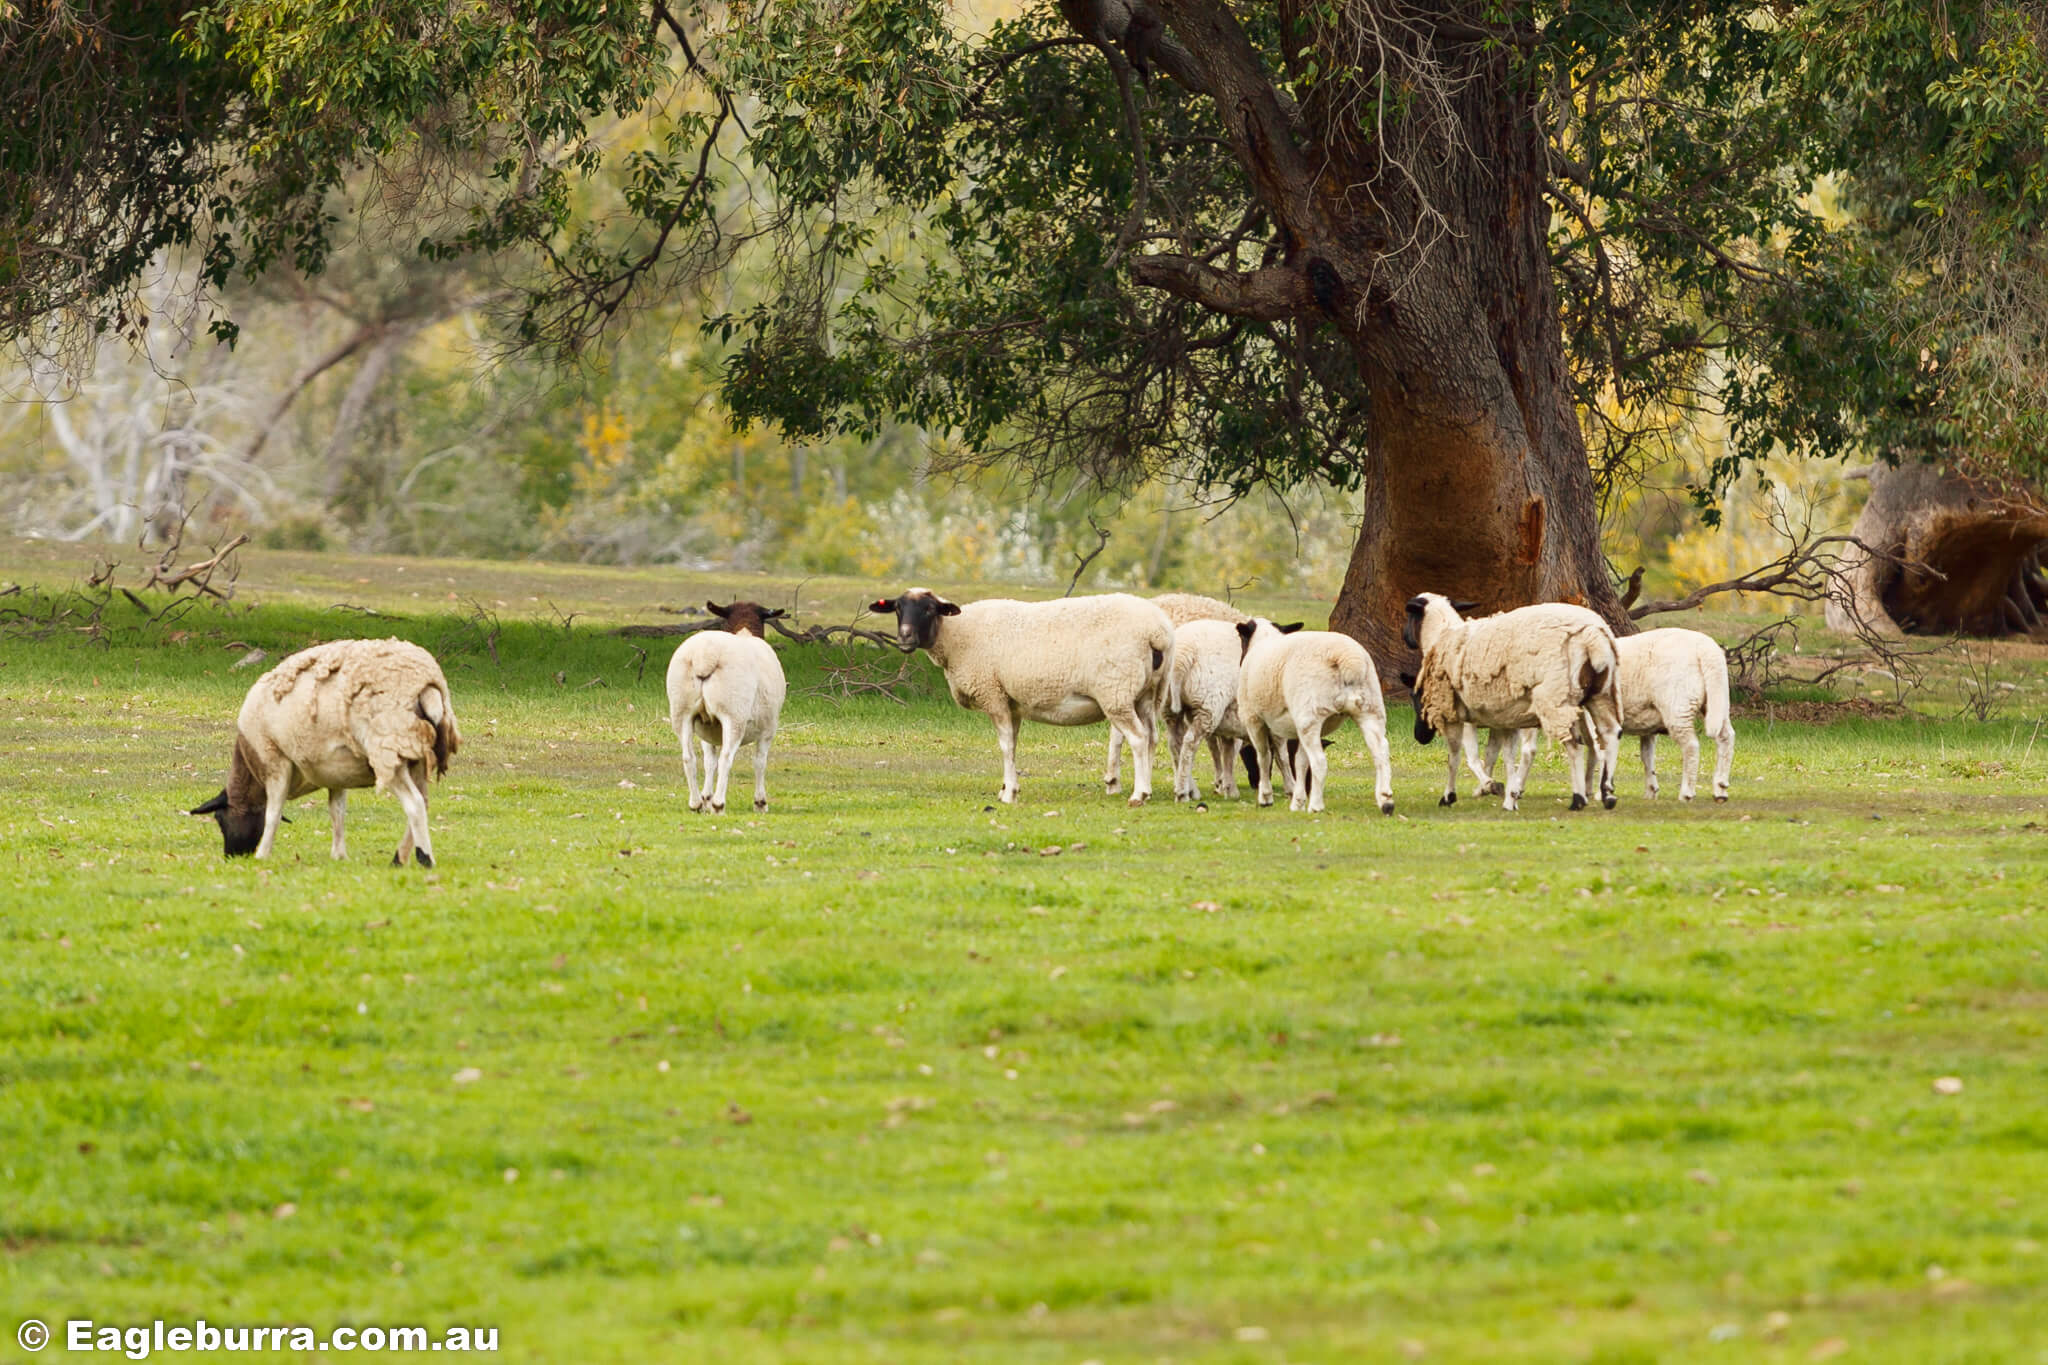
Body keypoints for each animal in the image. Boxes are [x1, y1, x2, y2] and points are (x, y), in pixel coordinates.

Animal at [188, 638, 460, 865]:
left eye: (219, 819)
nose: (231, 856)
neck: (250, 759)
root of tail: (428, 687)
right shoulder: (336, 772)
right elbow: (337, 812)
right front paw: (338, 855)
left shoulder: (275, 758)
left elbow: (273, 813)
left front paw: (262, 855)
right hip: (416, 753)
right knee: (424, 800)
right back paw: (399, 858)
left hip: (388, 749)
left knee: (415, 804)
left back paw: (425, 859)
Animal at [666, 600, 789, 814]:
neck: (745, 632)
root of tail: (704, 656)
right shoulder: (769, 727)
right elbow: (760, 762)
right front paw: (760, 803)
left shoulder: (706, 730)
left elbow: (709, 762)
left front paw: (706, 798)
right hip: (734, 713)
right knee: (726, 758)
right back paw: (719, 804)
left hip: (681, 710)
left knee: (689, 757)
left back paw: (696, 804)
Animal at [872, 587, 1173, 805]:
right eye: (897, 609)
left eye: (928, 609)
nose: (904, 639)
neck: (956, 635)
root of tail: (1158, 631)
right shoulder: (1010, 701)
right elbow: (1014, 745)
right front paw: (1006, 787)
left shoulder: (992, 694)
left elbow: (1005, 746)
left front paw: (1009, 794)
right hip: (1147, 694)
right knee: (1151, 738)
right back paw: (1147, 789)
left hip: (1116, 691)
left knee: (1138, 738)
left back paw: (1139, 794)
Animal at [1234, 617, 1395, 814]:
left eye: (1241, 638)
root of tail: (1349, 660)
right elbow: (1300, 762)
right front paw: (1297, 801)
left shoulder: (1254, 719)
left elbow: (1264, 757)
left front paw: (1266, 797)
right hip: (1369, 708)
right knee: (1381, 752)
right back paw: (1386, 800)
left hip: (1311, 713)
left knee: (1319, 761)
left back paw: (1316, 806)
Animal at [1404, 593, 1622, 812]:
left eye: (1417, 697)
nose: (1419, 737)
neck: (1442, 633)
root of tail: (1592, 637)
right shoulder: (1502, 717)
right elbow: (1499, 754)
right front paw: (1499, 791)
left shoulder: (1455, 713)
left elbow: (1458, 756)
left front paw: (1451, 796)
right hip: (1597, 696)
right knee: (1606, 737)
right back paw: (1605, 794)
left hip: (1554, 700)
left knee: (1570, 747)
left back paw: (1578, 799)